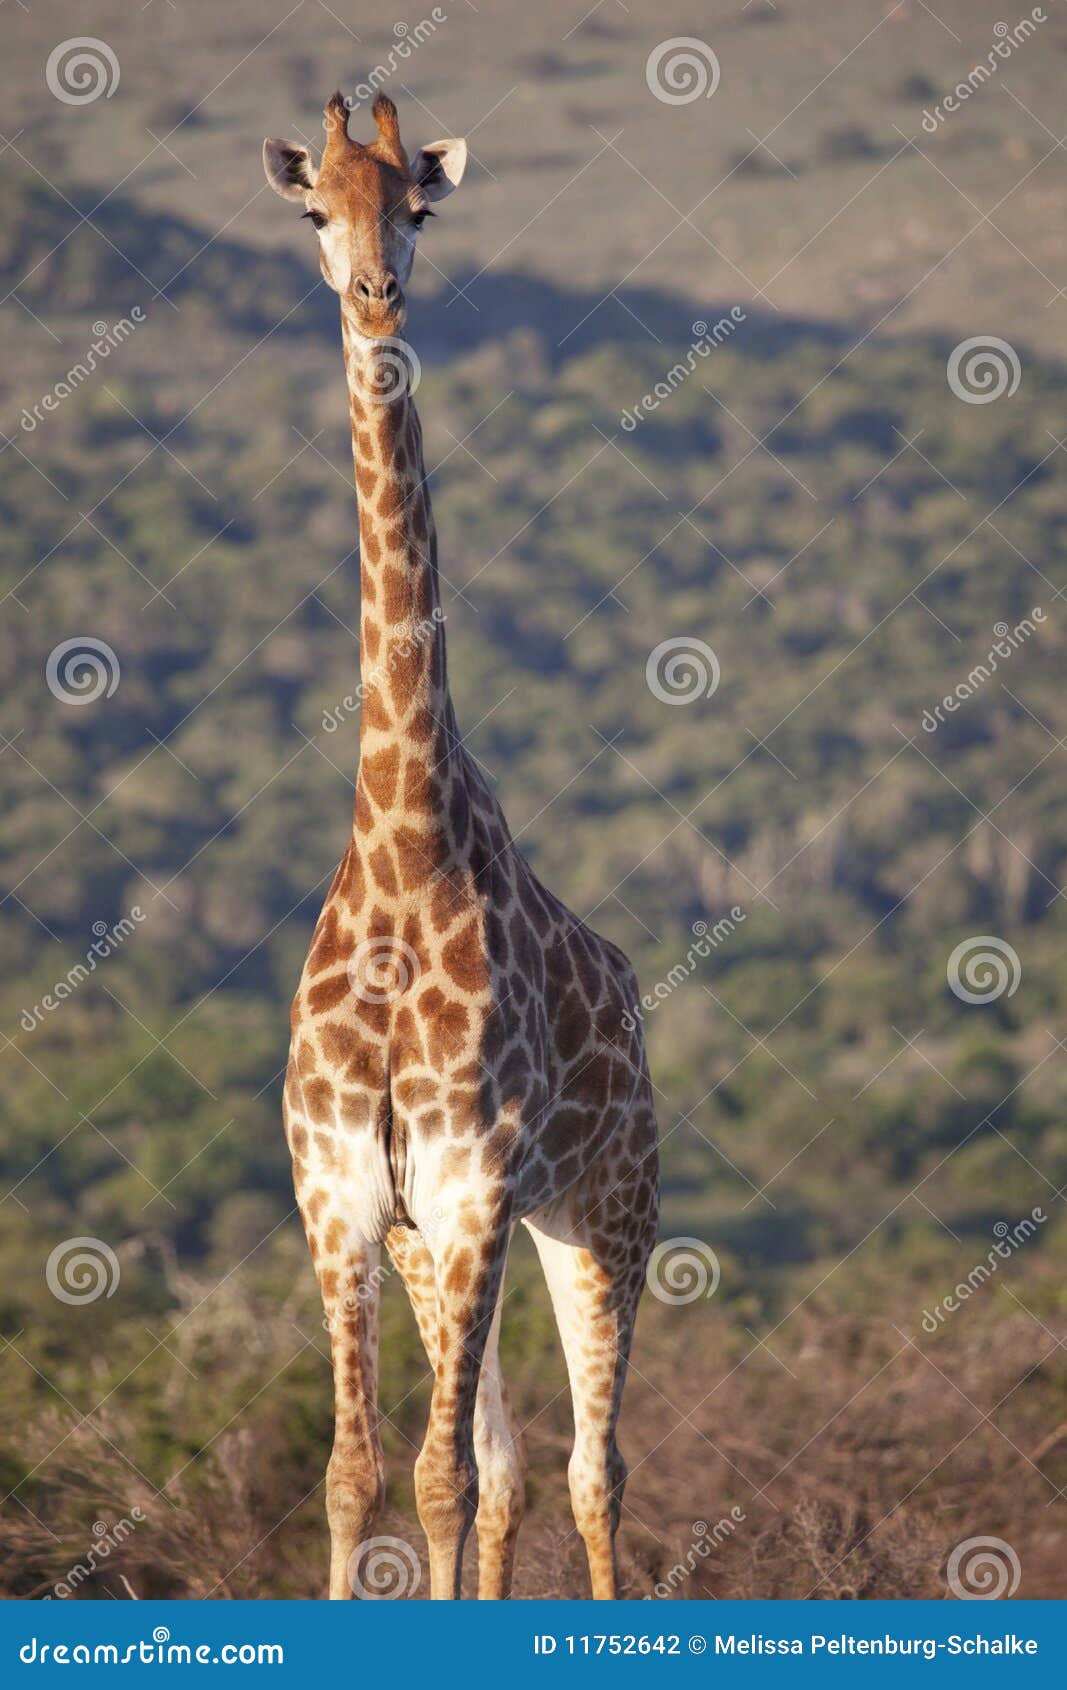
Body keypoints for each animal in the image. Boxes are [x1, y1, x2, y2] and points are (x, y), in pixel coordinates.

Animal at [263, 91, 659, 1602]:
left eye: (419, 208)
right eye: (317, 210)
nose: (377, 293)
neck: (403, 845)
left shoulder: (475, 1177)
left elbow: (431, 1475)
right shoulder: (343, 1195)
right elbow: (358, 1472)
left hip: (604, 1209)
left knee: (592, 1468)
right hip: (448, 1243)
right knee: (506, 1468)